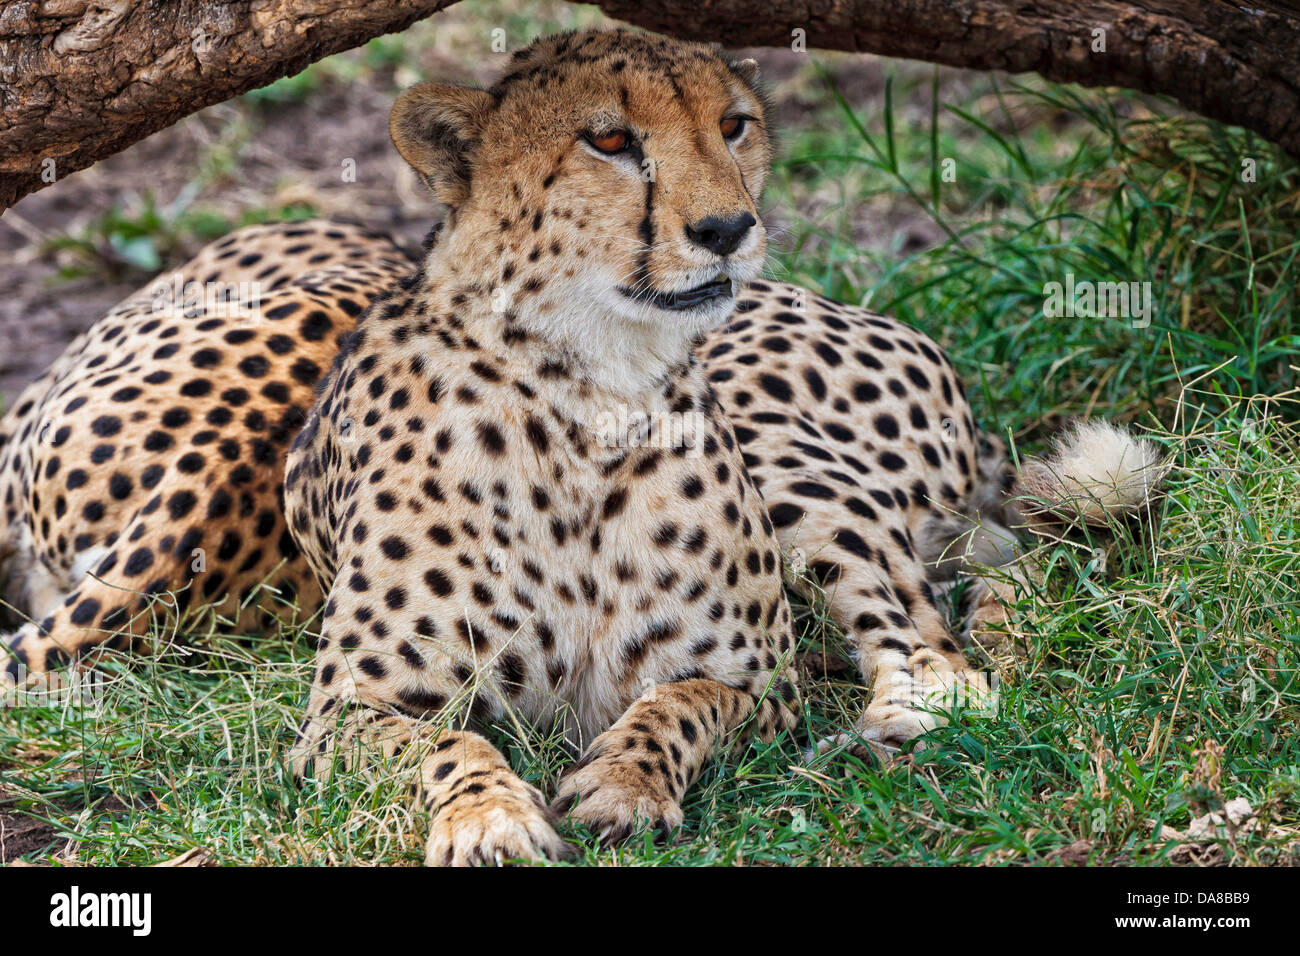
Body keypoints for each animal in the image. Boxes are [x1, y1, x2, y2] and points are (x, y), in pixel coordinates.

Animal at [0, 27, 1166, 866]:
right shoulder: (346, 713)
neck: (587, 396)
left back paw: (887, 725)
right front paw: (489, 818)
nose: (727, 230)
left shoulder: (751, 680)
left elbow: (680, 701)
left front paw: (622, 780)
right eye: (607, 141)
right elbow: (453, 738)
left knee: (942, 651)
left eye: (736, 125)